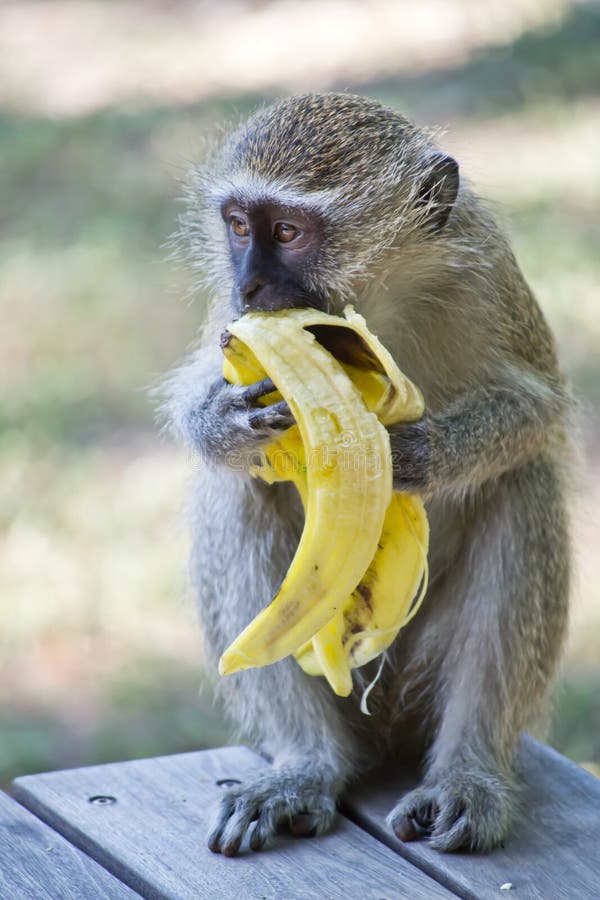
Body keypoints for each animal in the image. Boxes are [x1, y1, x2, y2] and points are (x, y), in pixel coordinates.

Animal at [161, 93, 572, 857]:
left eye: (288, 232)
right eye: (239, 227)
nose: (248, 284)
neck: (373, 305)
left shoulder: (488, 276)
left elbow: (539, 413)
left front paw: (422, 454)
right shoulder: (236, 326)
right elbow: (200, 412)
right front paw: (219, 420)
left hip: (414, 678)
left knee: (521, 483)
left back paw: (469, 775)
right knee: (237, 491)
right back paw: (306, 766)